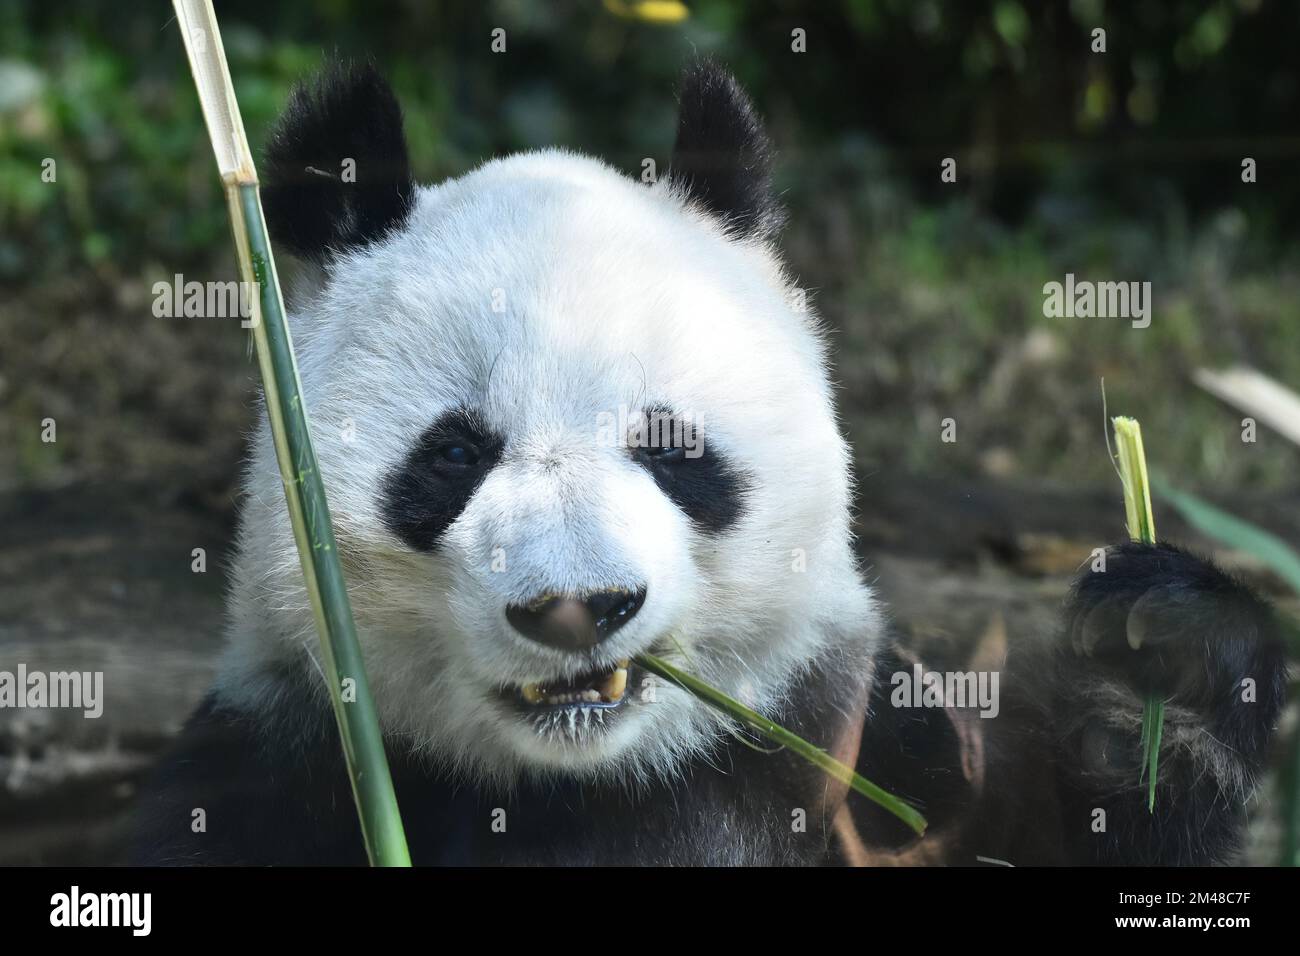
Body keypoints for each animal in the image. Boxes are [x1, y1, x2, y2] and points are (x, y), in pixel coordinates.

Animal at [133, 60, 1286, 866]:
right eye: (454, 453)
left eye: (672, 449)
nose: (576, 608)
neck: (586, 776)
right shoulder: (277, 766)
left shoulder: (848, 739)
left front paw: (1160, 666)